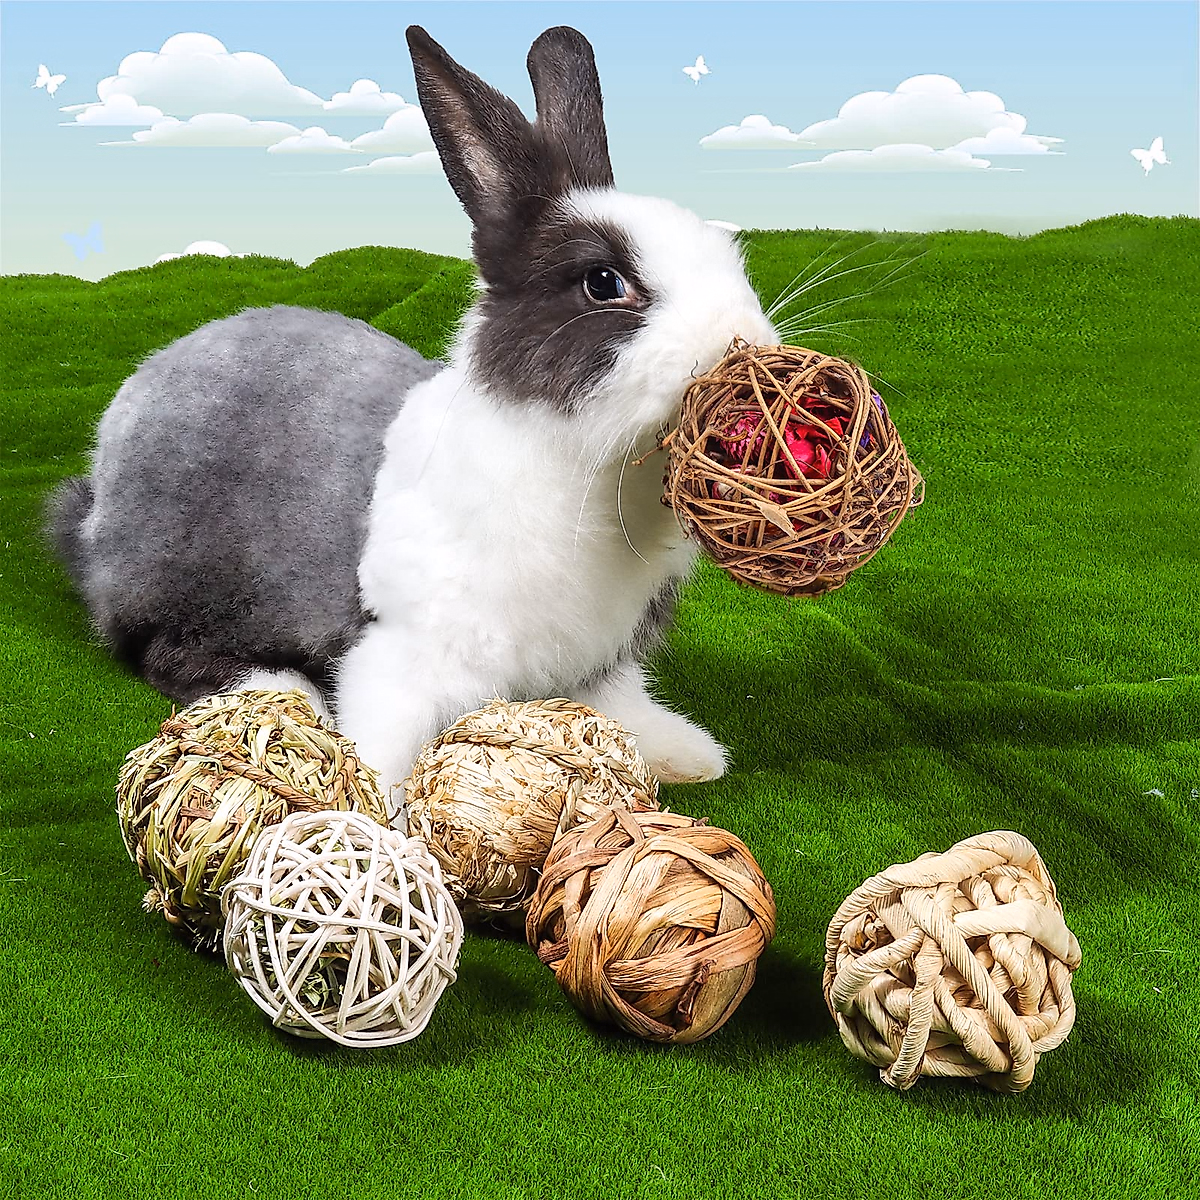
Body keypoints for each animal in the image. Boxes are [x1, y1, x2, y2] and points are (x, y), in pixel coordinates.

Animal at [46, 24, 779, 804]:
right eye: (604, 283)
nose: (743, 344)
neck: (588, 468)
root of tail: (101, 481)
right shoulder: (405, 650)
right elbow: (388, 736)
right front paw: (385, 821)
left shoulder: (599, 654)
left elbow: (619, 703)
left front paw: (686, 754)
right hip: (186, 578)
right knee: (161, 650)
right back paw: (287, 692)